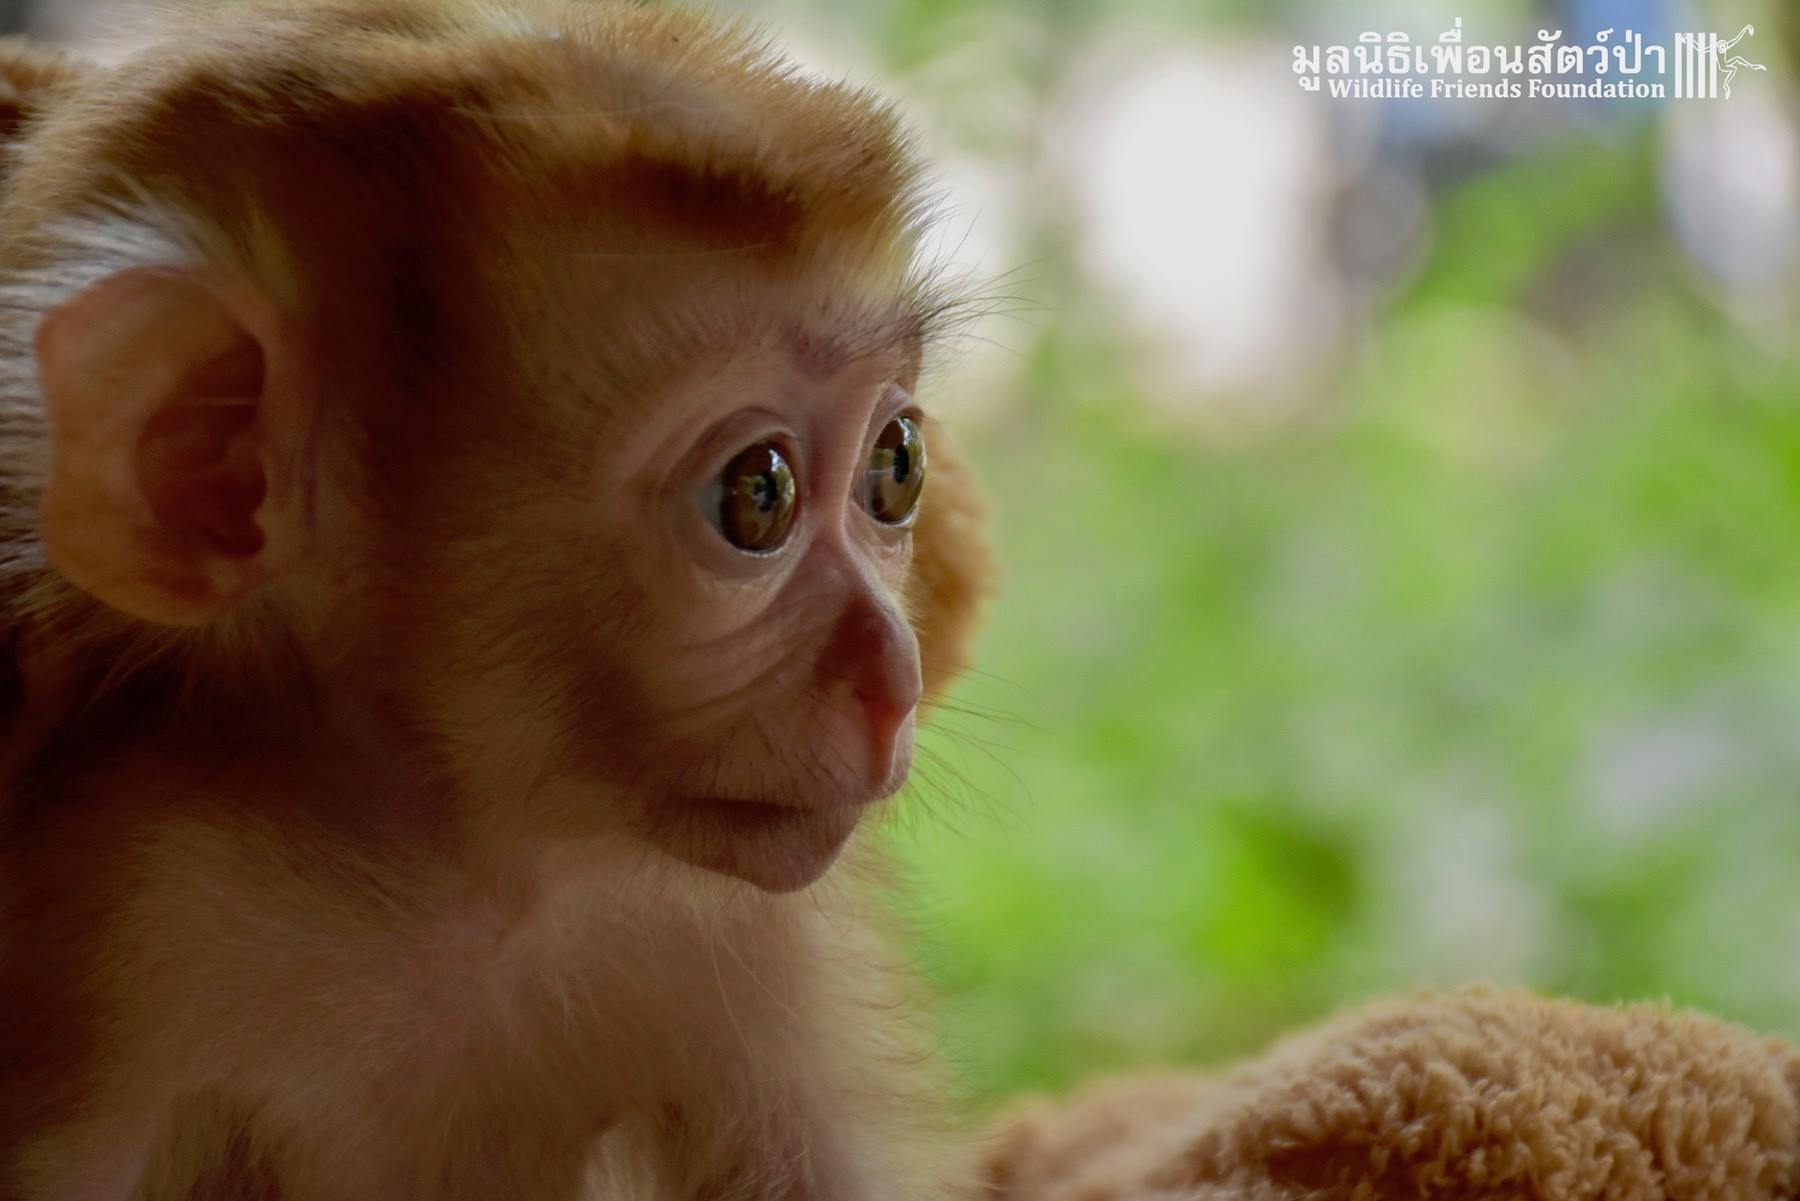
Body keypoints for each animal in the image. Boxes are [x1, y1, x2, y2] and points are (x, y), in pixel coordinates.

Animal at [0, 2, 991, 1197]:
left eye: (896, 465)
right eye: (758, 492)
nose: (894, 681)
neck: (462, 872)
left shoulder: (760, 939)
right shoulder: (142, 894)